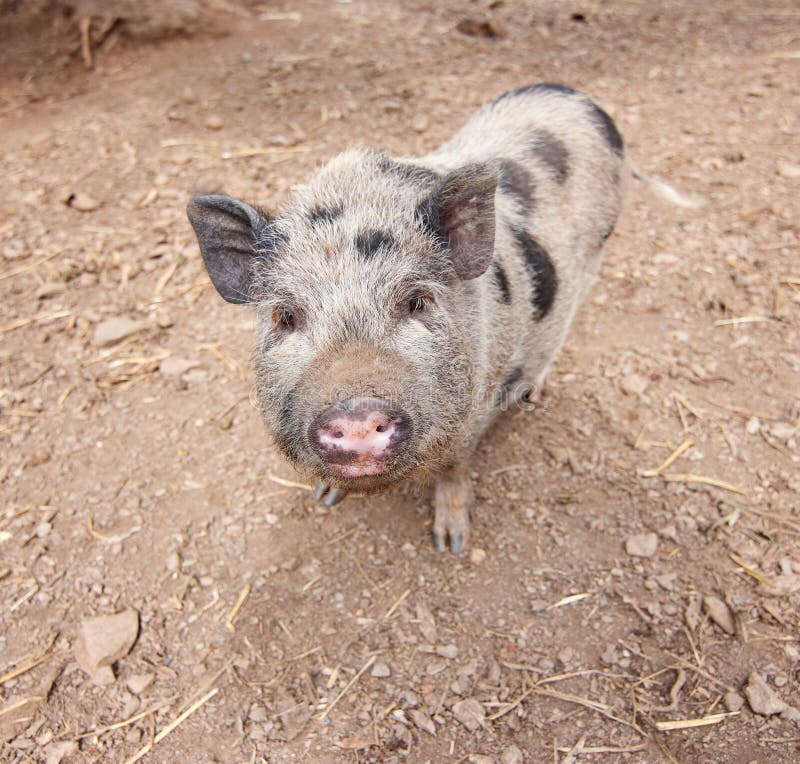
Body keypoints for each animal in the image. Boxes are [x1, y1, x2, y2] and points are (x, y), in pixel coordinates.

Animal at [187, 82, 697, 553]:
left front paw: (450, 543)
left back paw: (534, 391)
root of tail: (578, 97)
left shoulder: (477, 407)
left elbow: (455, 469)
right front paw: (325, 497)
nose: (356, 415)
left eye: (416, 302)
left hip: (598, 252)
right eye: (286, 316)